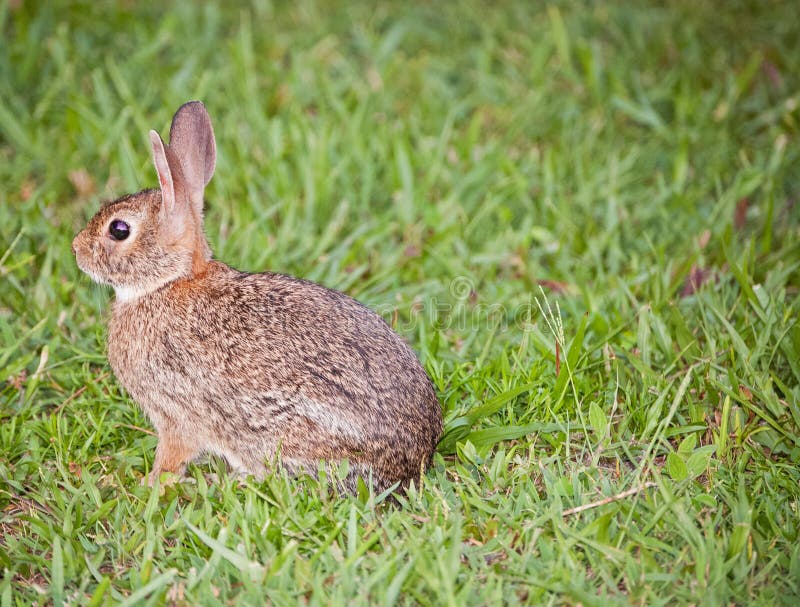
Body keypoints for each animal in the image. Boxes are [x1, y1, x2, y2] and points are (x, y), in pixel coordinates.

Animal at [72, 101, 442, 493]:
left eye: (119, 229)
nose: (76, 249)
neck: (167, 282)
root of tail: (415, 460)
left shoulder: (174, 414)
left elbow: (171, 457)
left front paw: (146, 483)